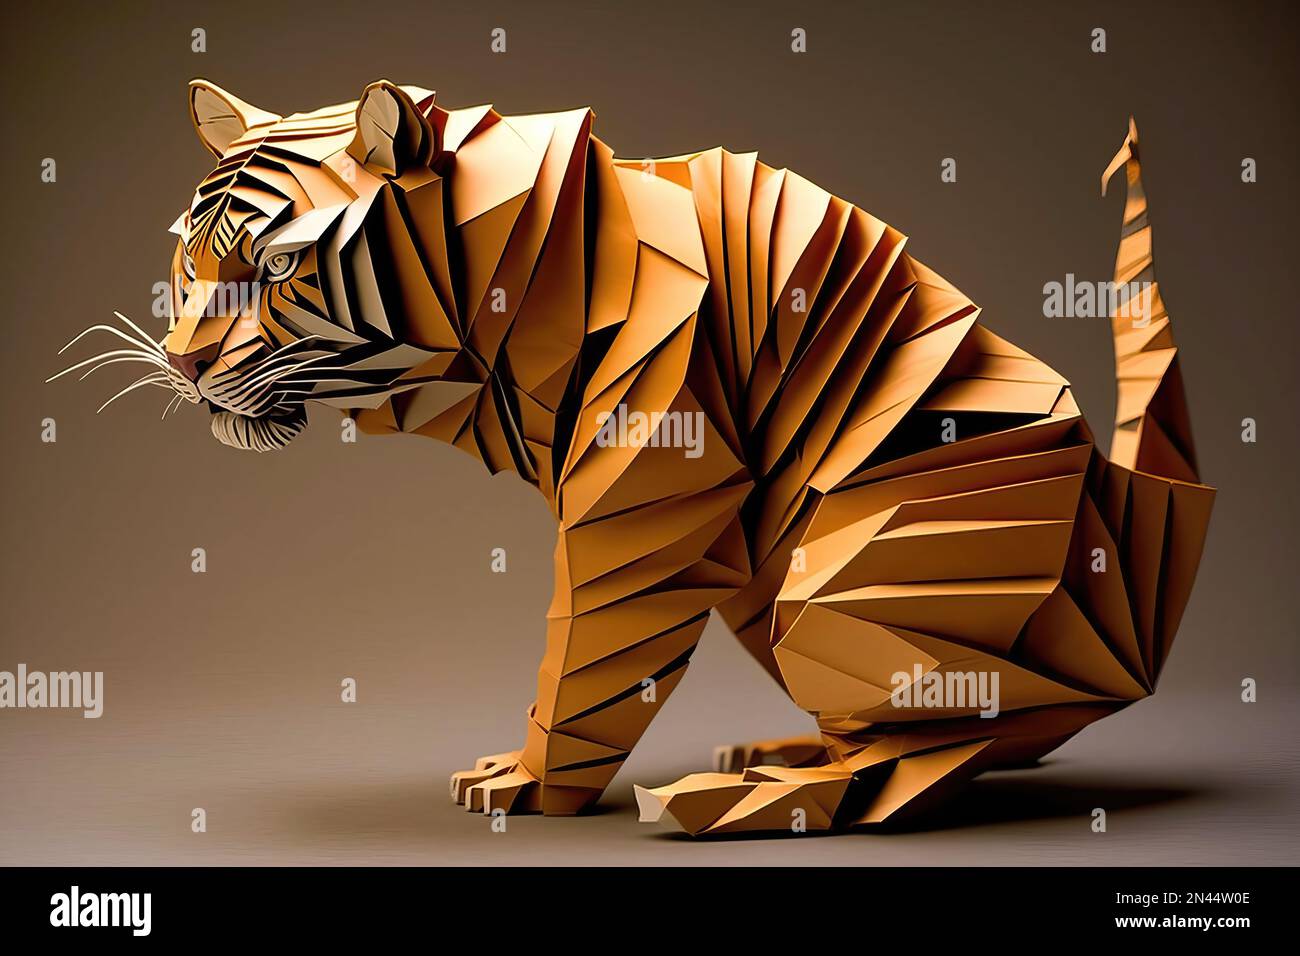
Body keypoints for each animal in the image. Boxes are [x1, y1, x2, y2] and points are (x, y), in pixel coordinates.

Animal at [54, 79, 1214, 835]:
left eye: (279, 266)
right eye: (188, 255)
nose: (181, 357)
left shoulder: (647, 493)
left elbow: (585, 656)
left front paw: (525, 784)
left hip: (846, 572)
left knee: (937, 744)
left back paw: (745, 798)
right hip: (770, 583)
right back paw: (778, 750)